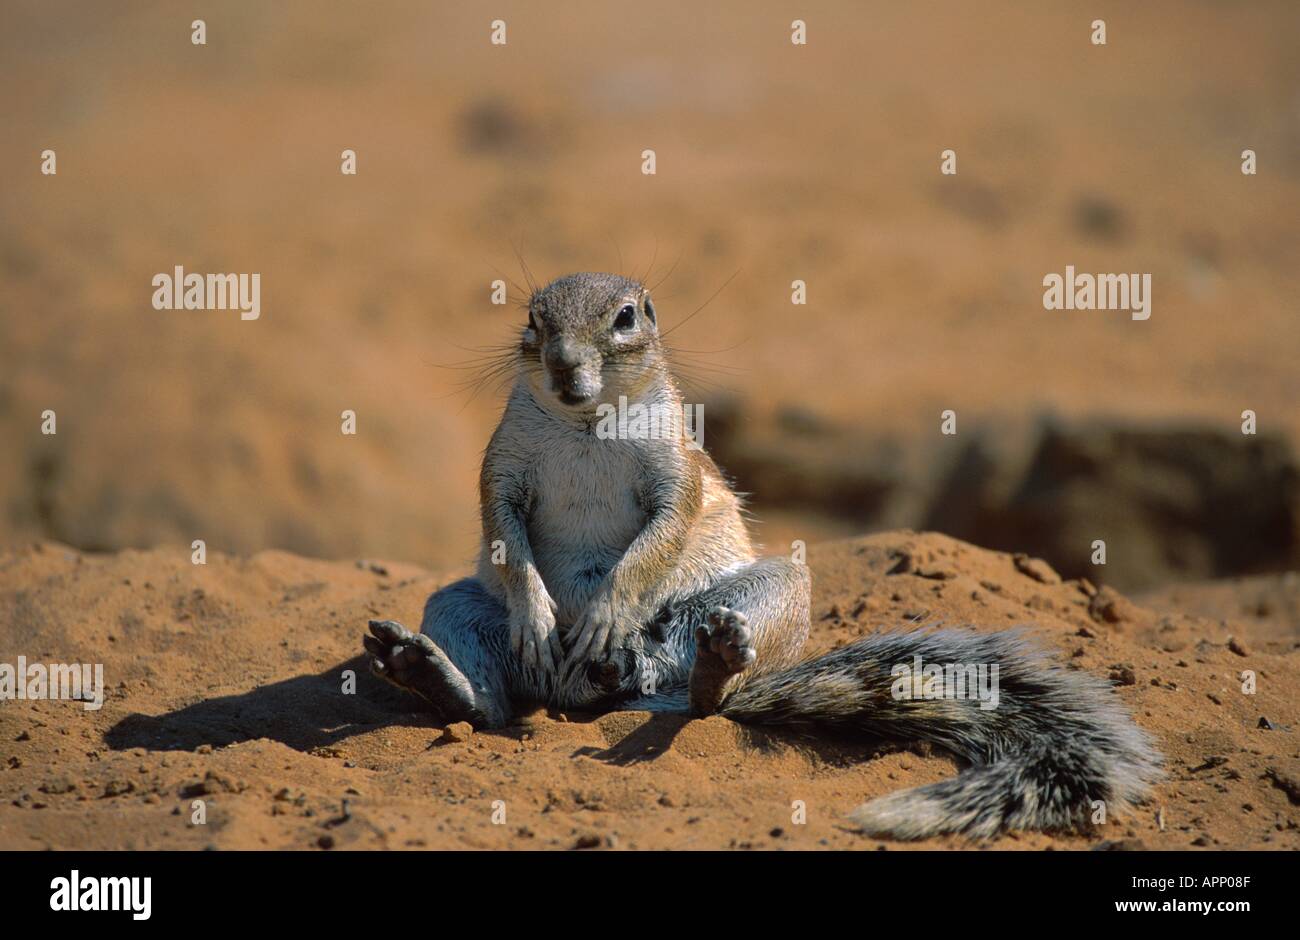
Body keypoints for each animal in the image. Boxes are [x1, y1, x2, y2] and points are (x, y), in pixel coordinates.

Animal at [363, 271, 1162, 840]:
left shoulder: (675, 471)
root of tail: (598, 693)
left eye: (626, 317)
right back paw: (431, 672)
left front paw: (606, 610)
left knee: (706, 701)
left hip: (767, 592)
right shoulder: (502, 470)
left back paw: (708, 662)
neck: (585, 421)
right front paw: (535, 614)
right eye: (533, 318)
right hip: (455, 604)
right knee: (493, 704)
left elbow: (661, 536)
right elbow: (505, 534)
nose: (564, 367)